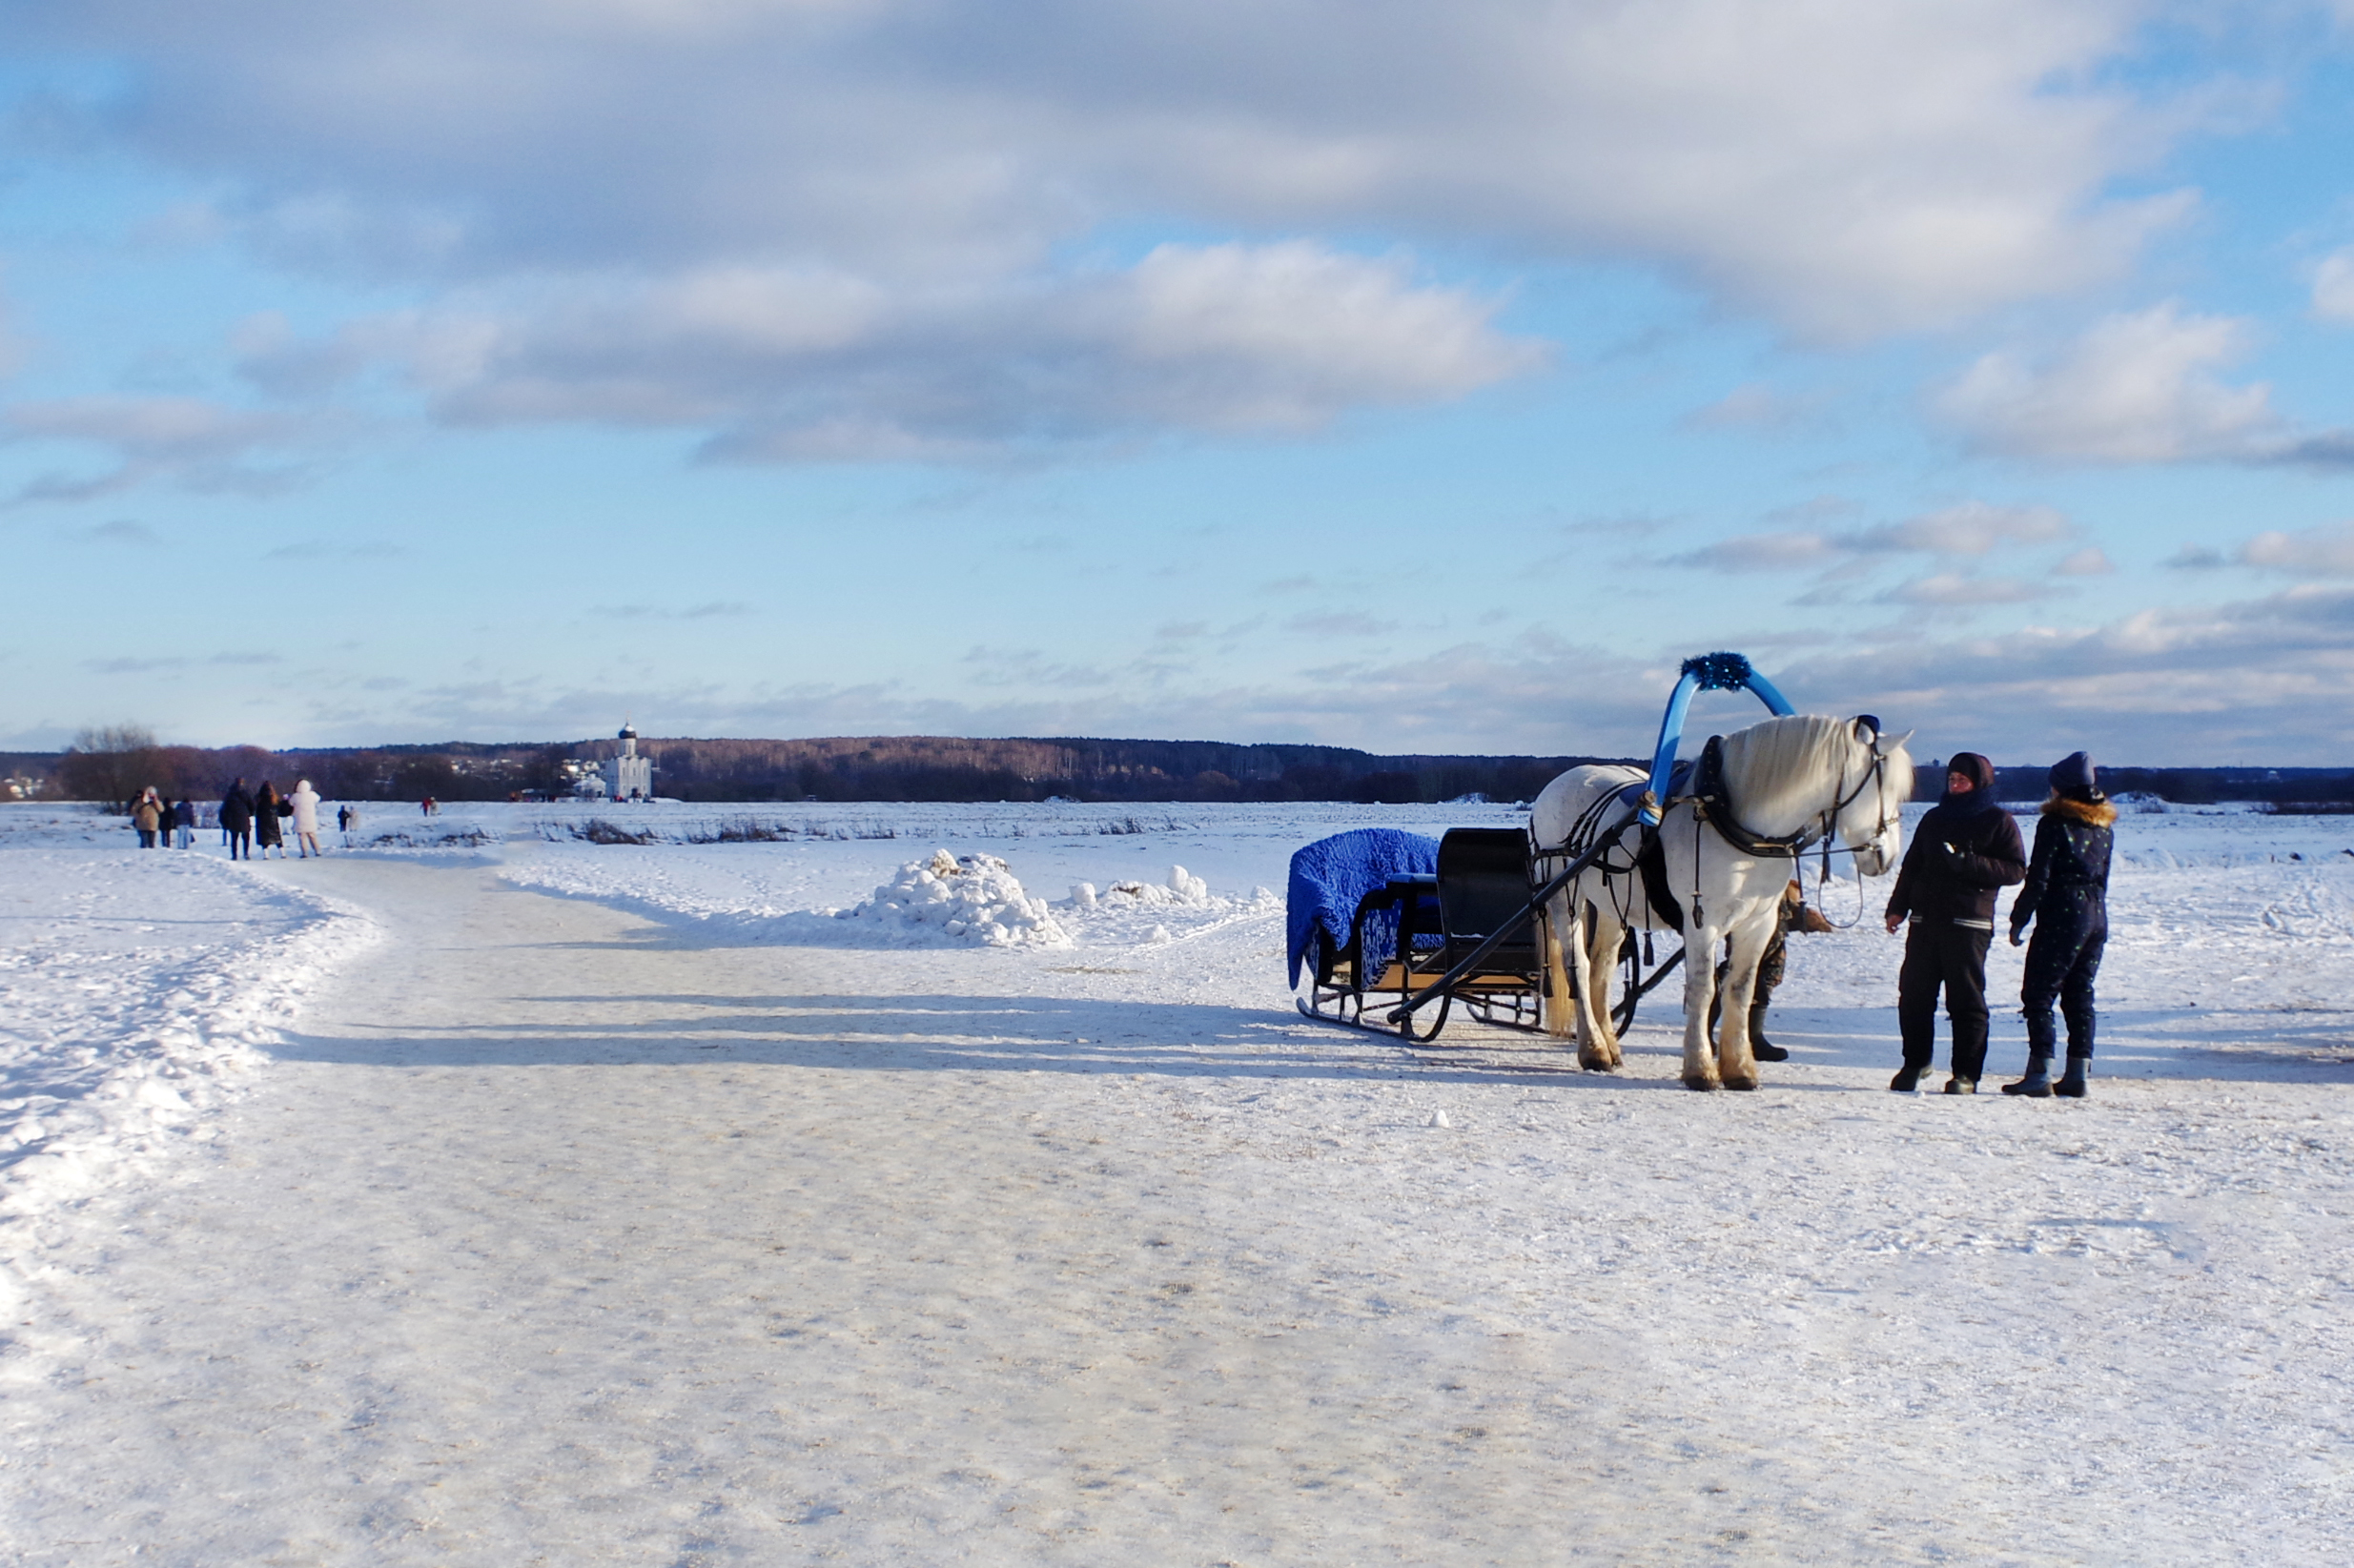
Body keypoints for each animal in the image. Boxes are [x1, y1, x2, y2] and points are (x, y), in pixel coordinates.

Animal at [1525, 710, 1911, 1088]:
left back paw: (1609, 1045)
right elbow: (1703, 988)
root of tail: (1557, 783)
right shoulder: (1701, 921)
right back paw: (1593, 1049)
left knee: (1601, 968)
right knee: (1578, 966)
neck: (1733, 820)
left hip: (1611, 904)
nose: (1887, 857)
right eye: (1885, 788)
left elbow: (1740, 989)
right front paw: (1700, 1068)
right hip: (1564, 894)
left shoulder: (1760, 922)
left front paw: (1739, 1068)